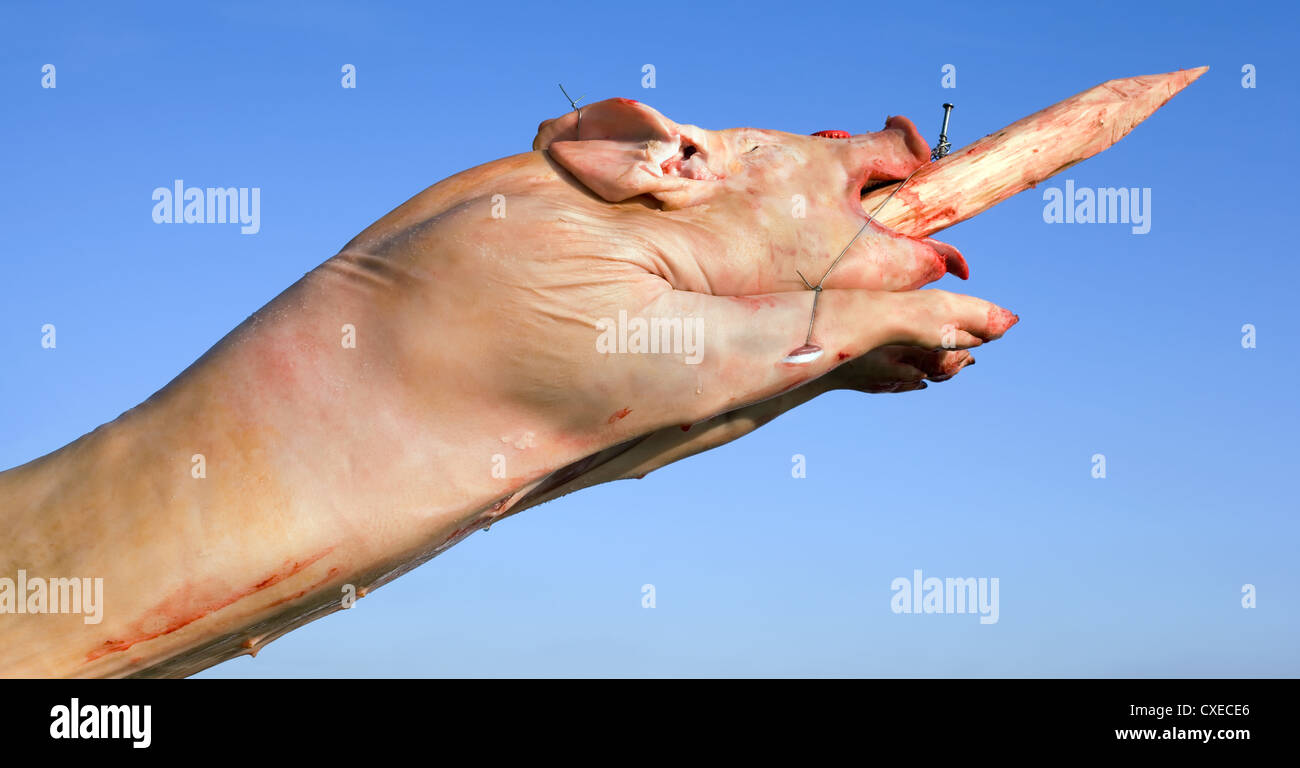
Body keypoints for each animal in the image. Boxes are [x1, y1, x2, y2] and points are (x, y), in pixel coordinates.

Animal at [0, 98, 1016, 677]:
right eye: (809, 139)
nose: (902, 123)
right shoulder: (565, 318)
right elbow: (775, 326)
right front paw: (980, 321)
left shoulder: (620, 425)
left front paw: (941, 362)